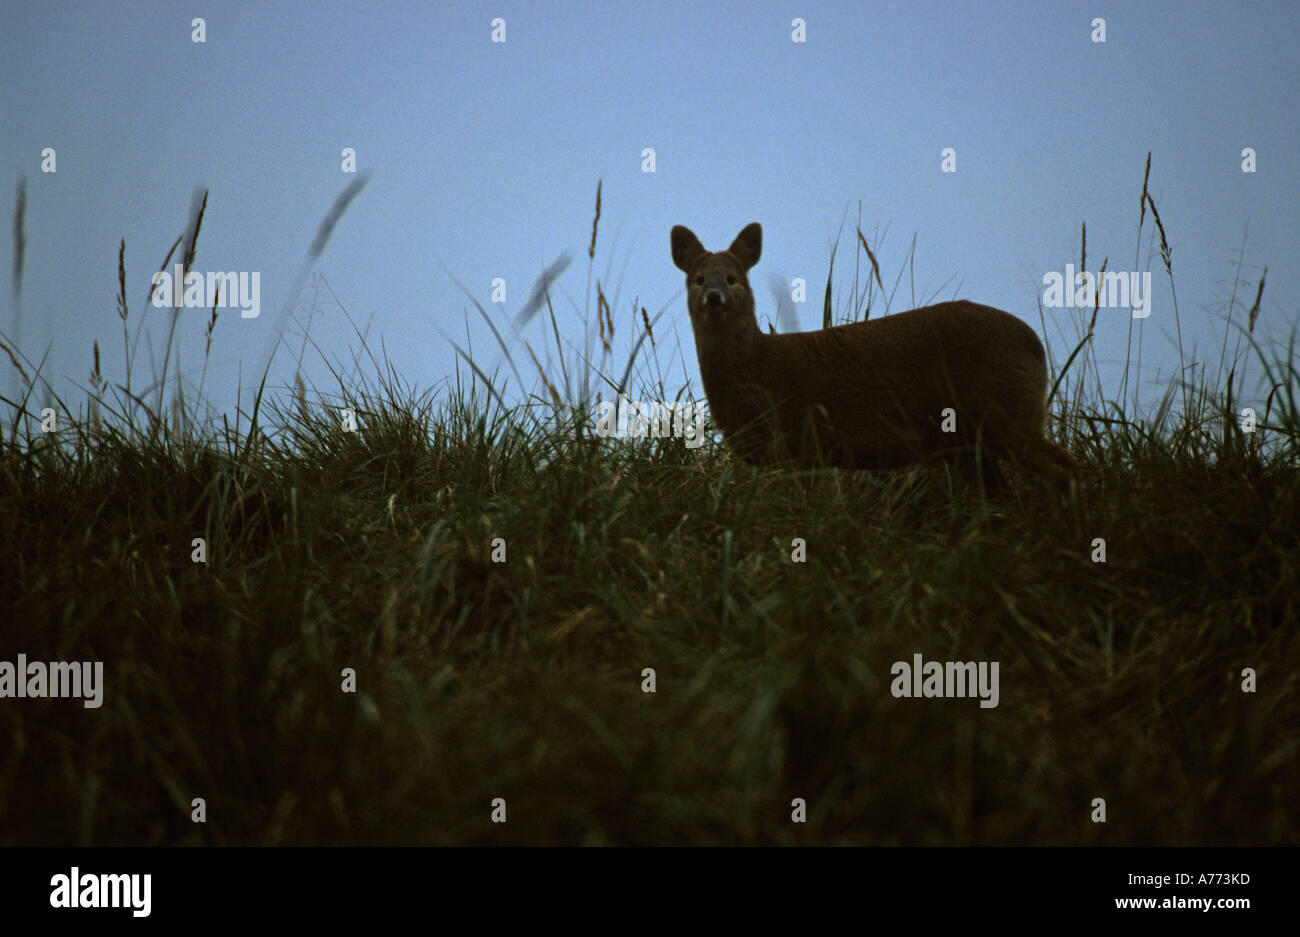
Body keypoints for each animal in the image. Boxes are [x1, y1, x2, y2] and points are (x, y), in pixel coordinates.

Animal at [670, 222, 1077, 497]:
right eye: (698, 278)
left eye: (733, 278)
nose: (713, 296)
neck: (757, 367)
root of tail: (1035, 343)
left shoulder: (802, 442)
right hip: (971, 441)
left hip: (1004, 408)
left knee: (1062, 467)